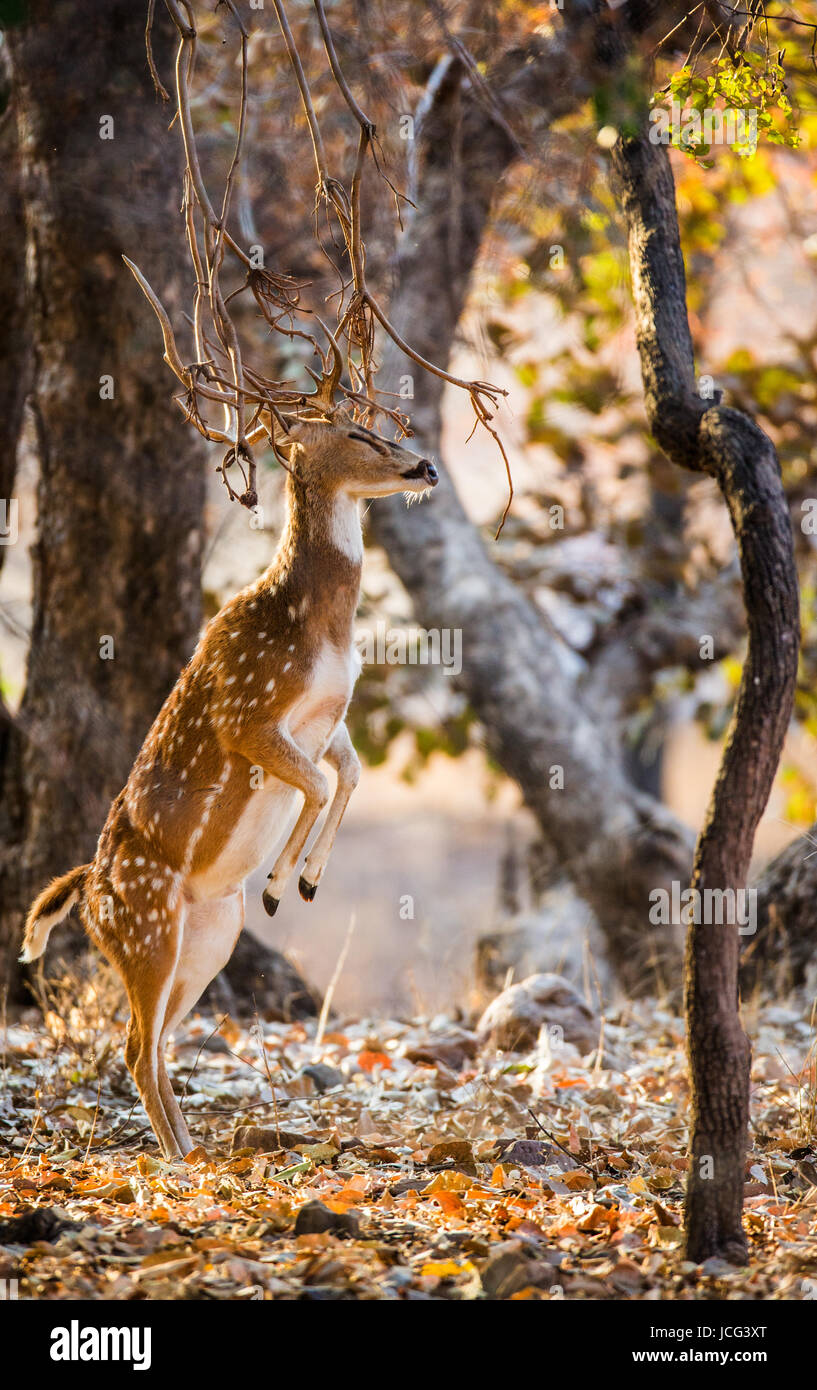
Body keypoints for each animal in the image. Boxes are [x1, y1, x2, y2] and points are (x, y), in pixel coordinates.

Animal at [19, 343, 438, 1159]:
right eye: (359, 435)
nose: (426, 466)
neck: (318, 629)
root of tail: (86, 893)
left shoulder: (330, 717)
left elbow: (348, 773)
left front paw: (307, 879)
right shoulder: (245, 713)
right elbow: (315, 784)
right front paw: (283, 882)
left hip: (209, 936)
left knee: (151, 1044)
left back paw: (192, 1152)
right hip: (146, 928)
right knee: (134, 1046)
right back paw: (182, 1165)